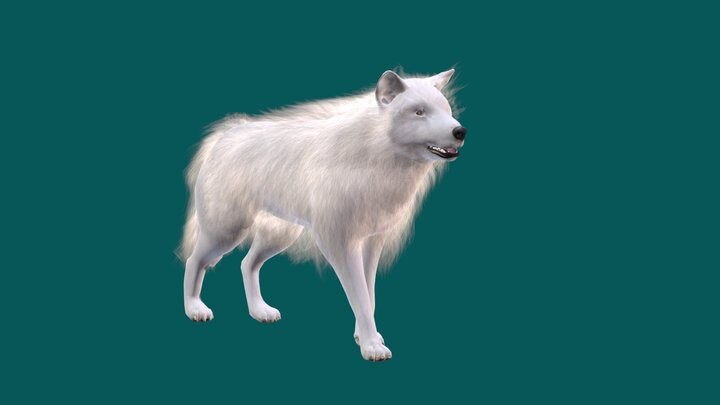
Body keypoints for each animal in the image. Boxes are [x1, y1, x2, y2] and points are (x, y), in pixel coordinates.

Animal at [180, 69, 467, 361]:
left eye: (446, 110)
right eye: (419, 112)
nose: (460, 131)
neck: (373, 158)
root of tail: (225, 136)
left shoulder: (371, 243)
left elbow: (369, 296)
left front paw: (365, 337)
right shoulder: (341, 245)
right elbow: (361, 299)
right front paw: (372, 347)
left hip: (278, 237)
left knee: (246, 264)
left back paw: (260, 311)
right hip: (226, 232)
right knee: (194, 261)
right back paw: (194, 309)